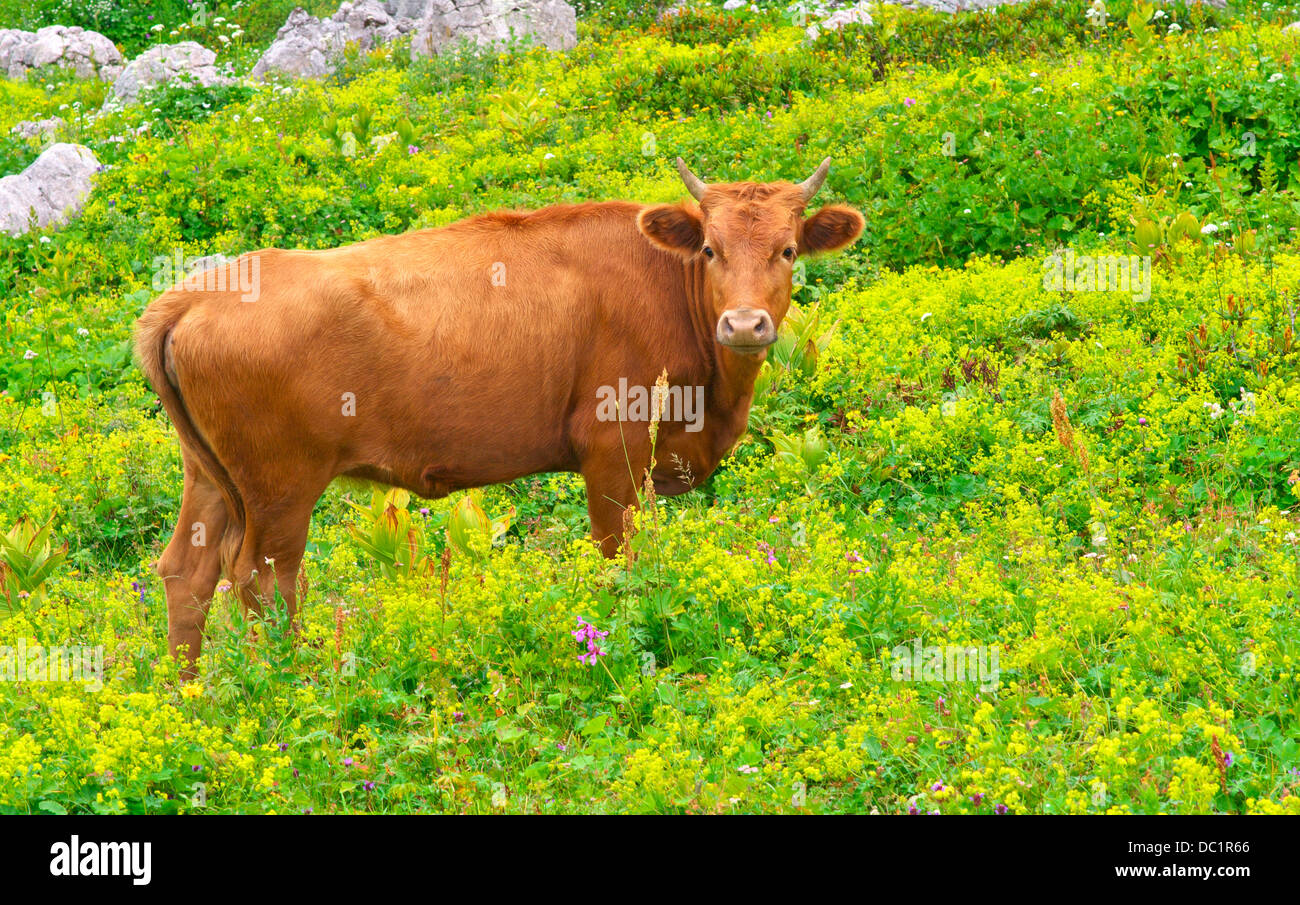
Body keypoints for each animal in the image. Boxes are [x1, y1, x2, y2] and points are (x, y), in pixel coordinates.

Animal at [135, 158, 865, 668]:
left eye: (788, 250)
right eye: (711, 249)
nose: (744, 324)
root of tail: (193, 296)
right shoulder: (615, 452)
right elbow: (619, 556)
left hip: (210, 478)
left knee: (187, 574)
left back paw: (191, 696)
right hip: (280, 489)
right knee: (264, 580)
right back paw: (288, 682)